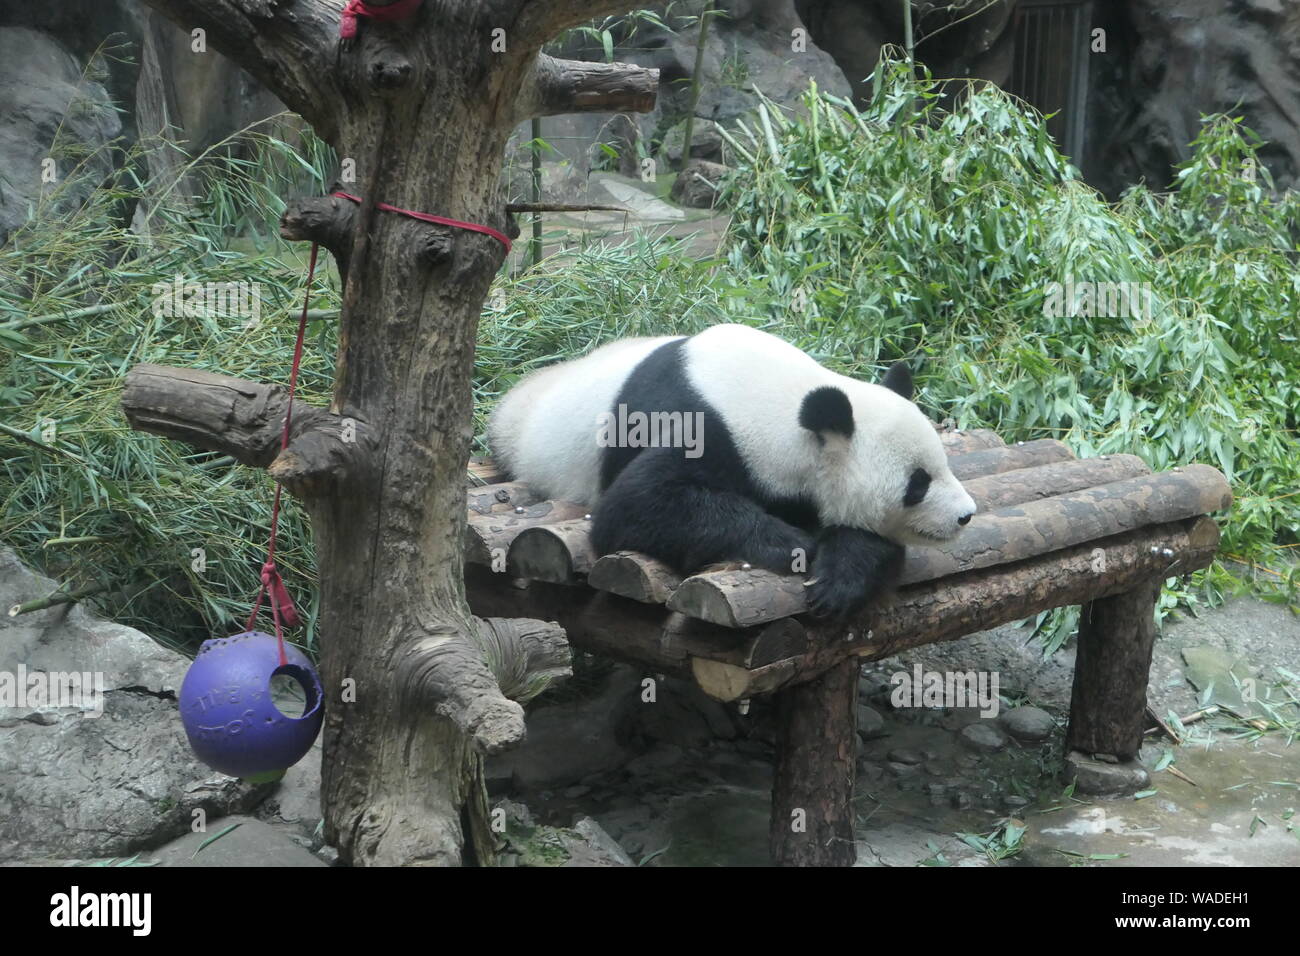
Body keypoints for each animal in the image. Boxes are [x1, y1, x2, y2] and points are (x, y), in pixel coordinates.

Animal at [488, 324, 977, 620]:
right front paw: (795, 544)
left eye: (942, 465)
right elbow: (636, 504)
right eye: (918, 483)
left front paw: (838, 580)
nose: (965, 515)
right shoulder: (702, 424)